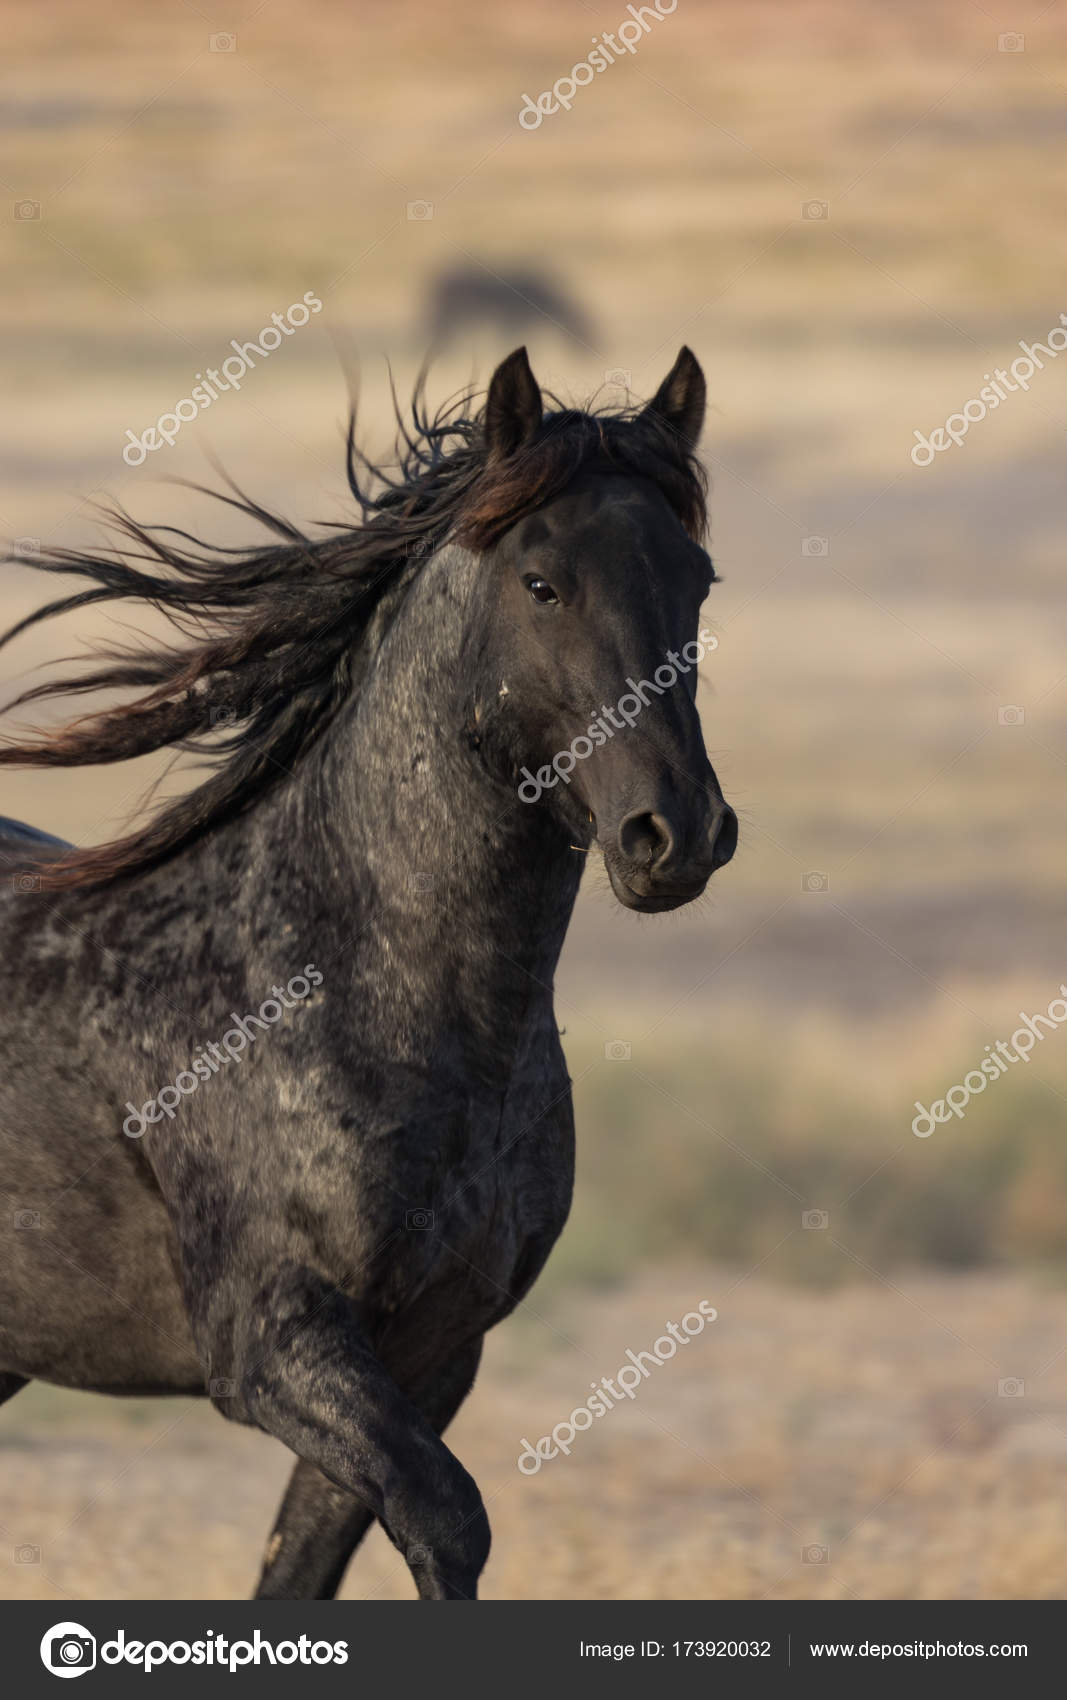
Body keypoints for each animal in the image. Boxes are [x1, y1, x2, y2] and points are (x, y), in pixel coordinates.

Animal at [0, 345, 736, 1600]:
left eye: (698, 578)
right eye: (541, 582)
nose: (673, 833)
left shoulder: (433, 1353)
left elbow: (308, 1567)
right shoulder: (277, 1343)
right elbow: (448, 1520)